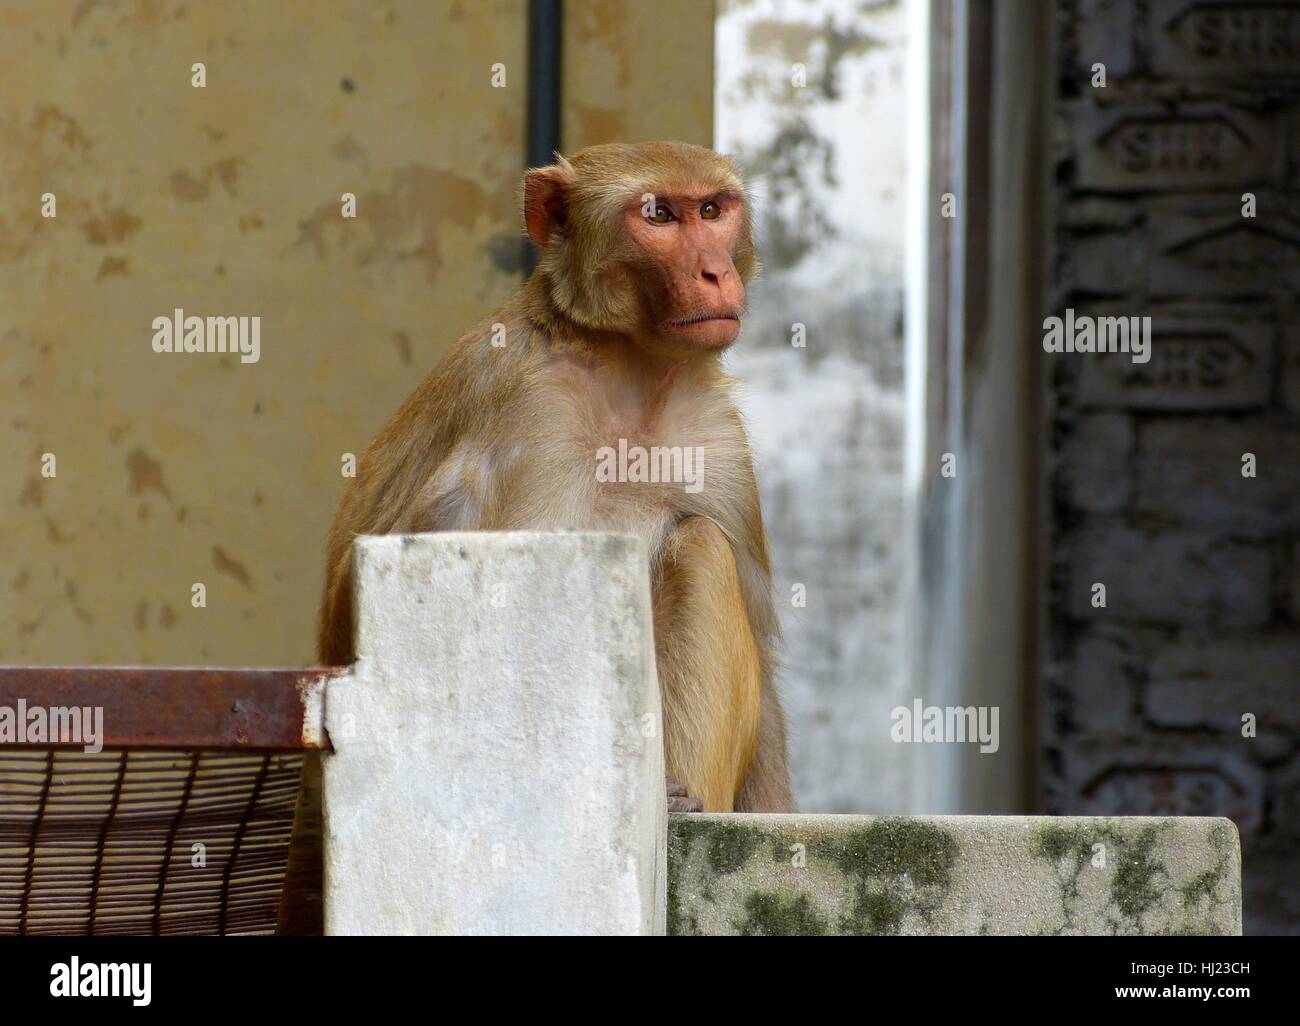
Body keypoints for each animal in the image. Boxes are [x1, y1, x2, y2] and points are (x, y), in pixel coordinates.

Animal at [317, 140, 793, 816]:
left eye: (710, 210)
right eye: (658, 216)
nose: (714, 273)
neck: (630, 368)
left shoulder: (716, 435)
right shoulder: (529, 413)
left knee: (699, 543)